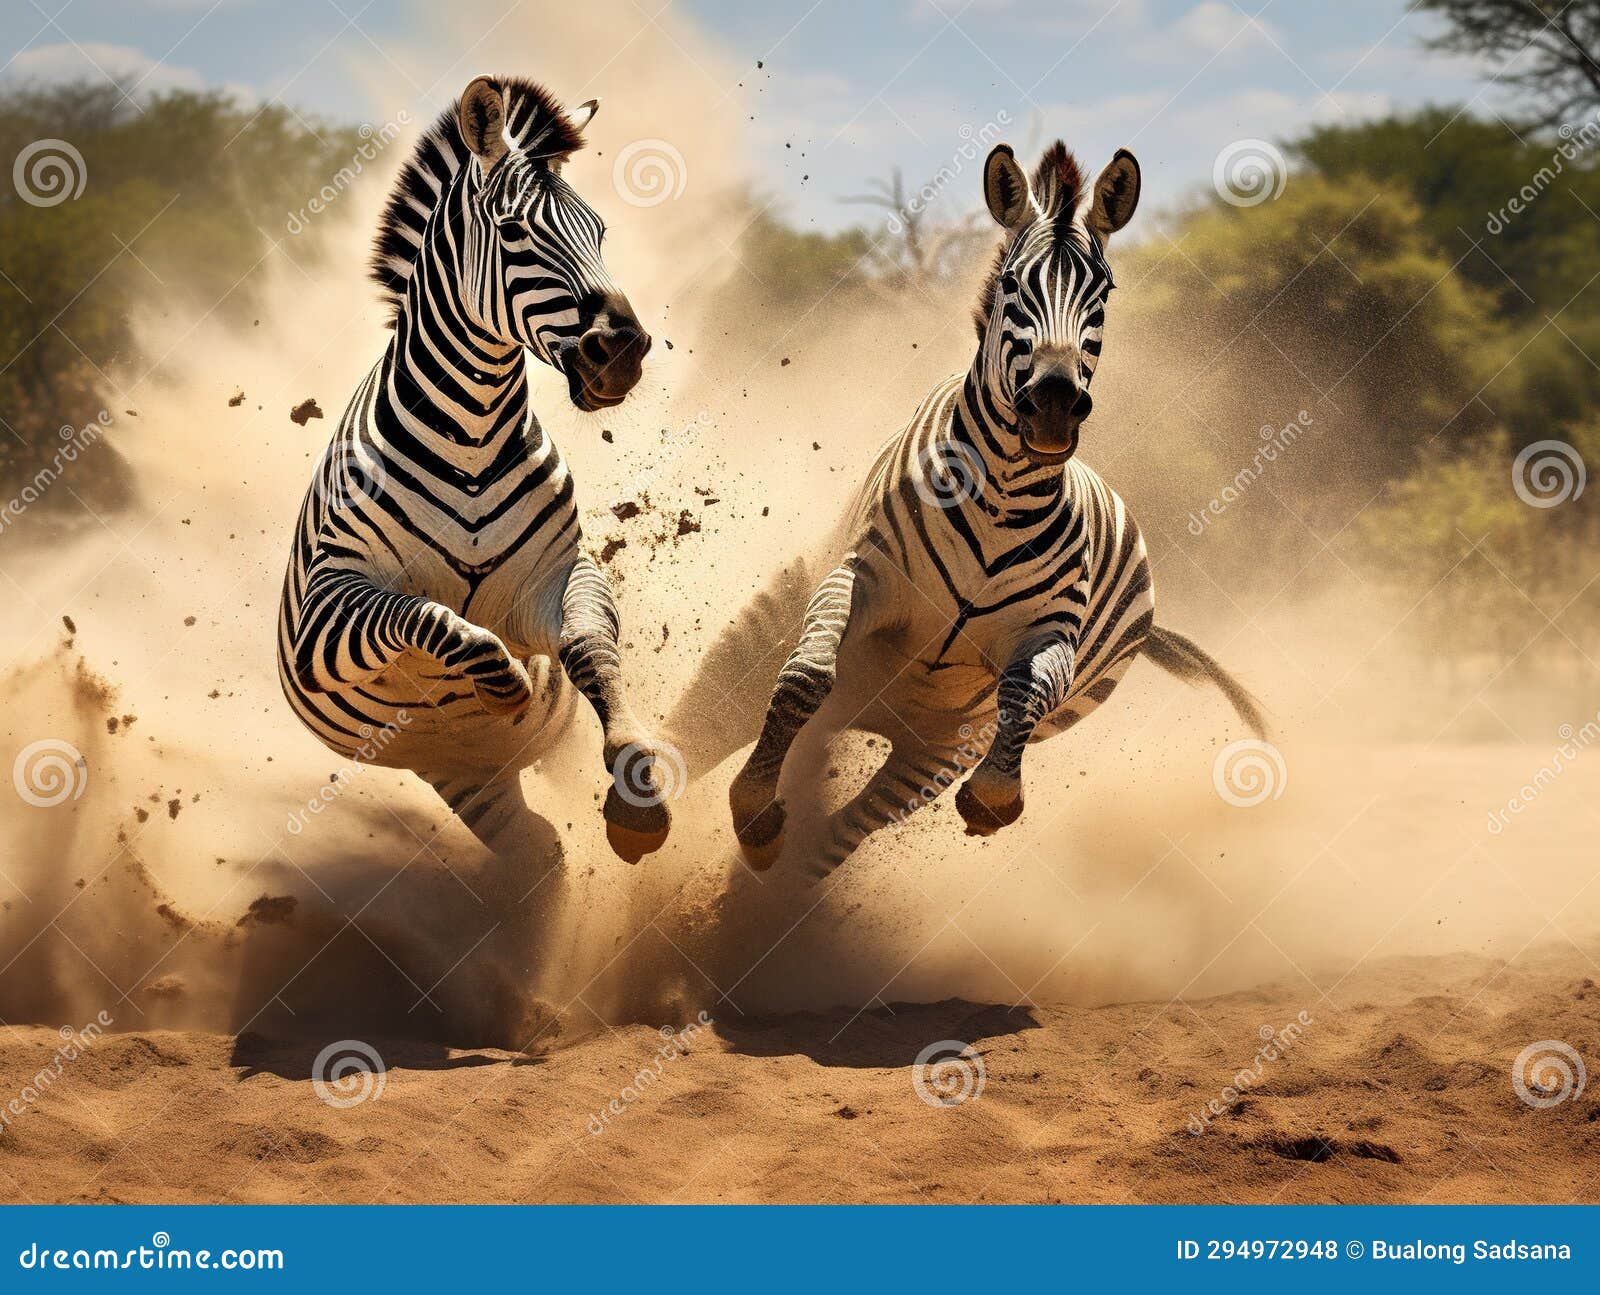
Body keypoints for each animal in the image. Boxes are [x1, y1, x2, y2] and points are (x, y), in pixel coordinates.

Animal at [277, 75, 672, 871]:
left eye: (600, 232)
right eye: (515, 231)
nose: (623, 350)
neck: (473, 439)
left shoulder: (556, 575)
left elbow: (591, 648)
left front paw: (638, 789)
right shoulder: (325, 616)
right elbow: (428, 616)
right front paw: (503, 680)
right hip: (460, 772)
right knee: (537, 852)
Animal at [666, 141, 1265, 879]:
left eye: (1103, 294)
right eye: (1012, 285)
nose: (1054, 405)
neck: (1002, 494)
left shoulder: (1049, 637)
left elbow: (1022, 698)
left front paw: (996, 795)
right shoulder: (860, 575)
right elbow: (804, 678)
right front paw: (752, 806)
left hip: (932, 750)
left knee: (839, 835)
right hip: (779, 619)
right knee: (710, 720)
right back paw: (635, 812)